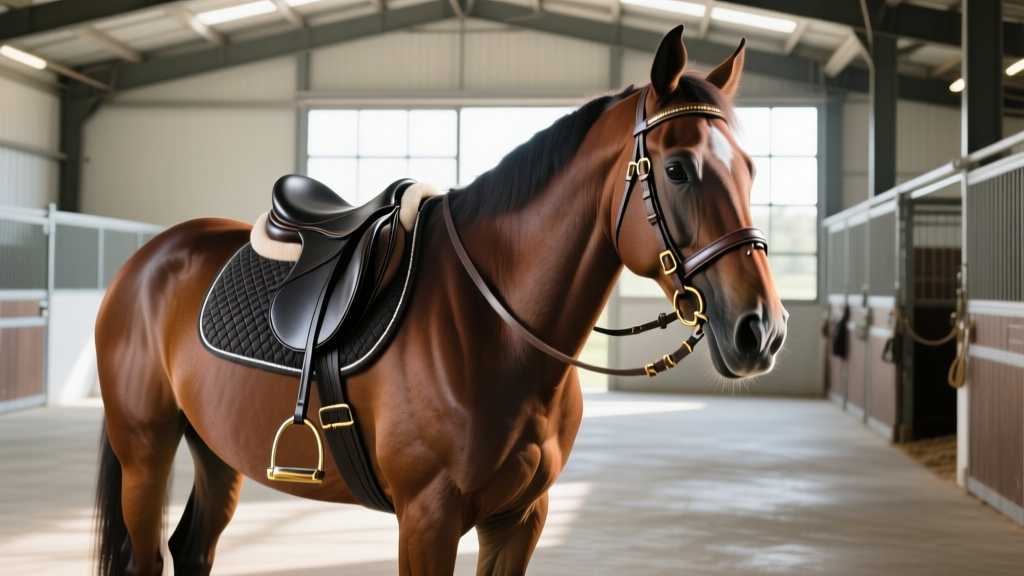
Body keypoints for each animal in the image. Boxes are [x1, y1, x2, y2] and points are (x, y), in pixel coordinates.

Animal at [93, 26, 787, 576]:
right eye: (677, 168)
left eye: (752, 168)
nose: (763, 330)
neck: (496, 330)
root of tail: (146, 259)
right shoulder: (428, 518)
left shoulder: (519, 518)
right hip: (145, 450)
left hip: (214, 449)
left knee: (192, 549)